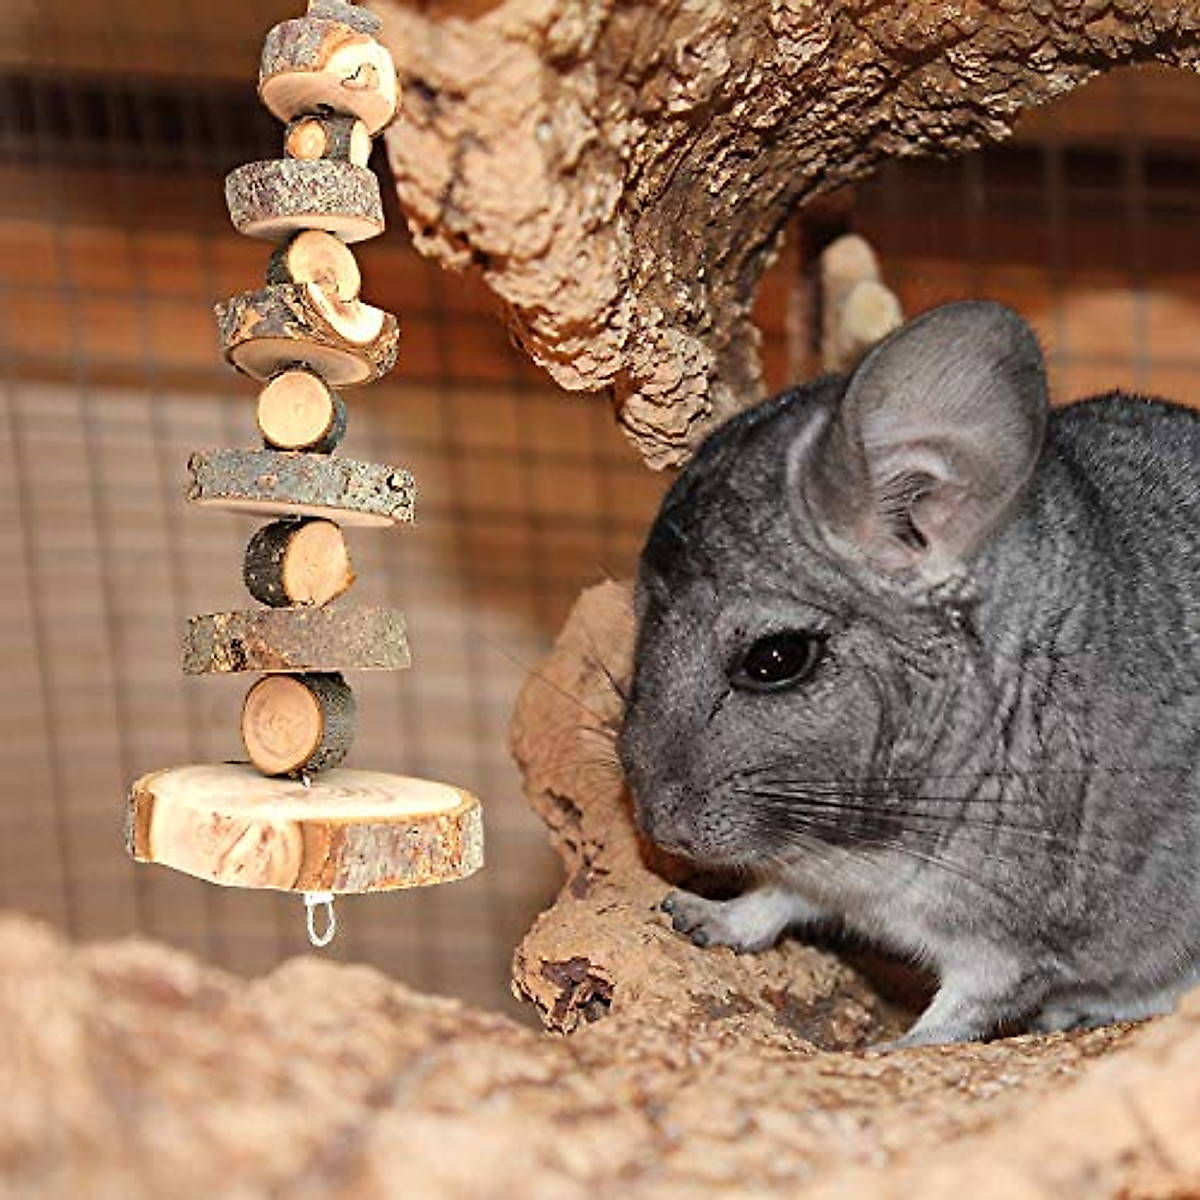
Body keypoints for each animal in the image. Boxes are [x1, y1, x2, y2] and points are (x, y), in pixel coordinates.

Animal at [617, 300, 1200, 1048]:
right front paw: (697, 914)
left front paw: (890, 1048)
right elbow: (774, 896)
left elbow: (964, 1011)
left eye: (776, 659)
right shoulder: (816, 873)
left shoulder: (1015, 926)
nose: (658, 829)